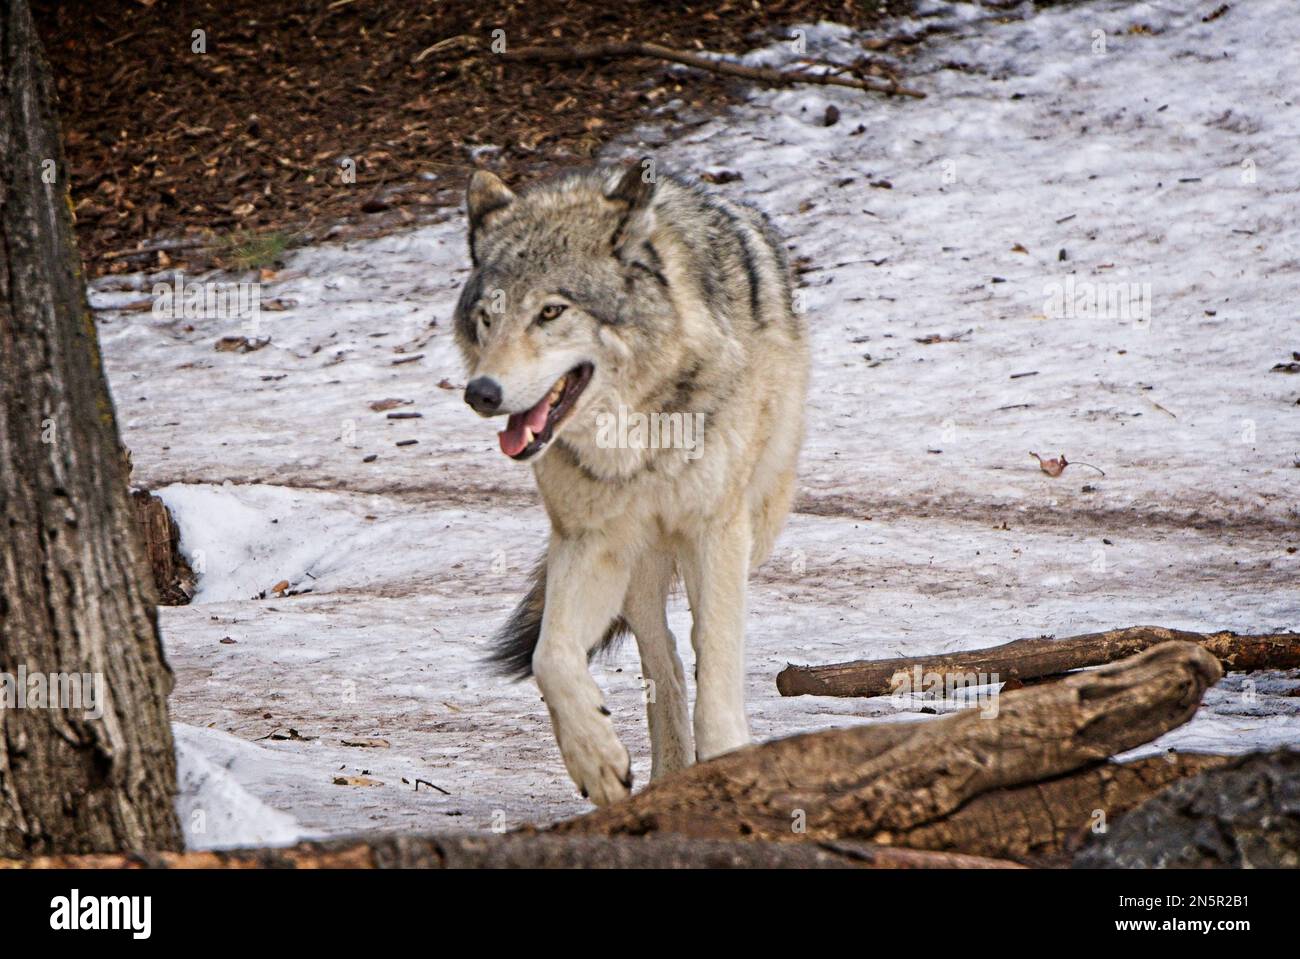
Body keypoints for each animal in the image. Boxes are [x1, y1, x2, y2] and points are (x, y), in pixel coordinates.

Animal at [453, 158, 809, 805]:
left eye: (551, 312)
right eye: (487, 318)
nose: (482, 393)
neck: (634, 438)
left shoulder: (716, 530)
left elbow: (717, 659)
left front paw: (728, 762)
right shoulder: (592, 542)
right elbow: (551, 657)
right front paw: (595, 759)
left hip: (753, 522)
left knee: (698, 641)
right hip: (639, 560)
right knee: (660, 652)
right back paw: (667, 773)